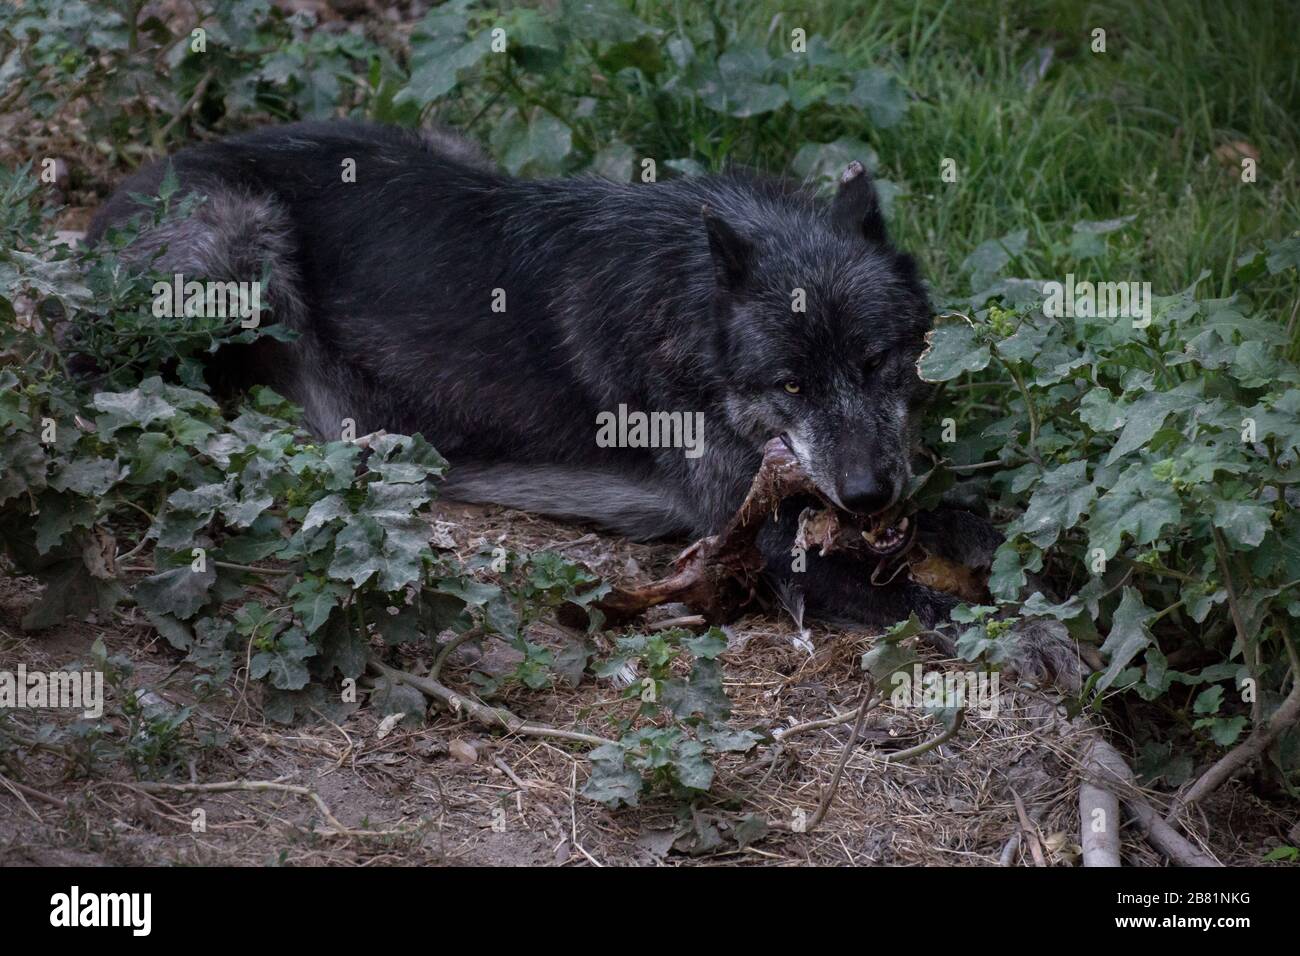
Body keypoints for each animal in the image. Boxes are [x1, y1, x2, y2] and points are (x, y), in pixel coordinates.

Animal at [88, 121, 1005, 632]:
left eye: (875, 363)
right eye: (791, 386)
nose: (867, 495)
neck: (688, 307)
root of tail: (124, 190)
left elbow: (970, 518)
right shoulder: (764, 541)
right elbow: (933, 607)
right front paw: (1021, 636)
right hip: (235, 245)